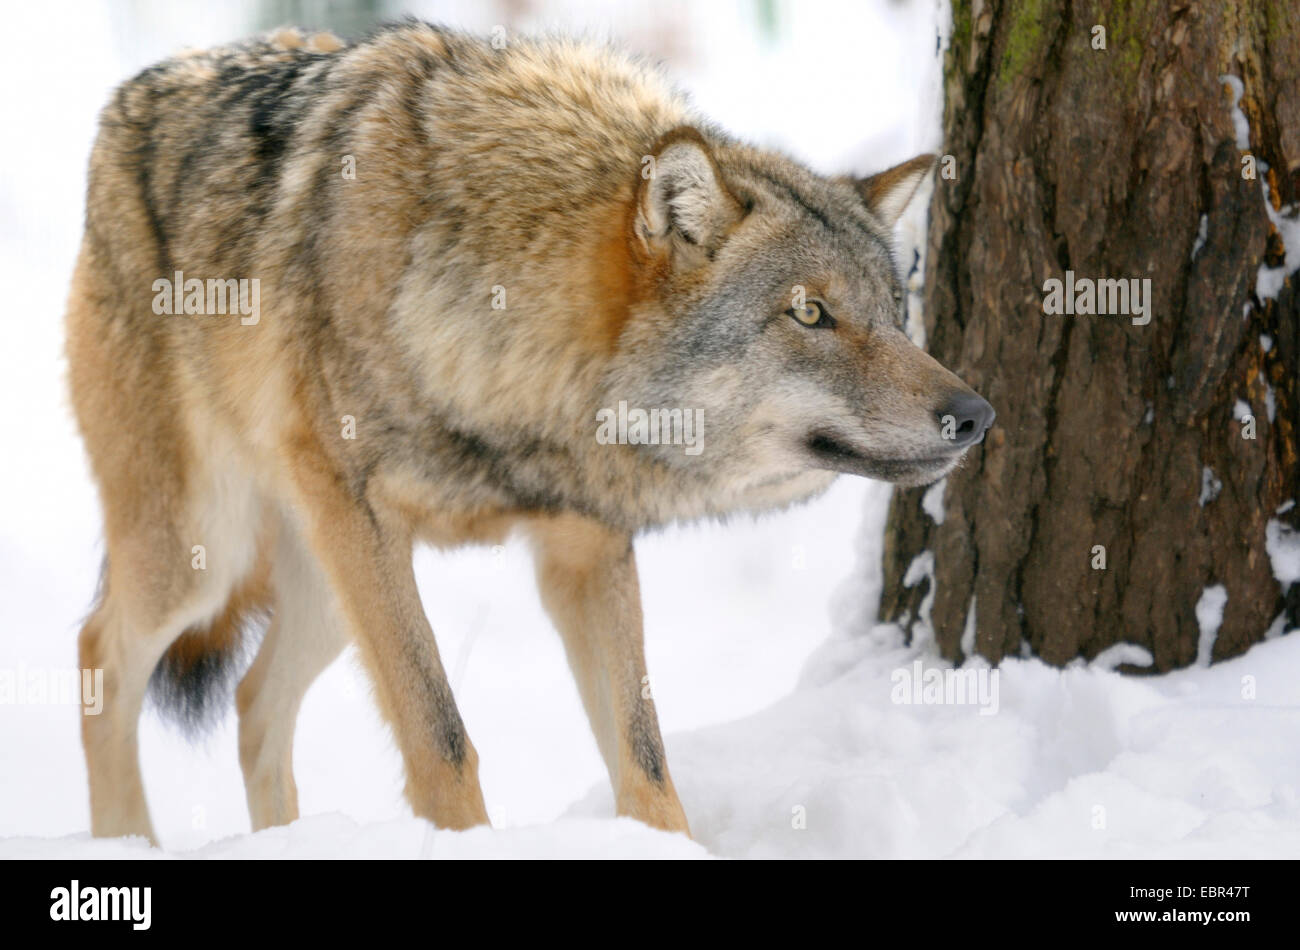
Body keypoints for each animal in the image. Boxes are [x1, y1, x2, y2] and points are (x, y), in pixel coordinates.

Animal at [66, 21, 994, 842]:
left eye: (897, 311)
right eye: (811, 313)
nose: (977, 415)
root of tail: (137, 90)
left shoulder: (587, 548)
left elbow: (646, 763)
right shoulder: (365, 520)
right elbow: (442, 742)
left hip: (324, 582)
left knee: (254, 703)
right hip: (208, 555)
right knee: (100, 653)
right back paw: (127, 843)